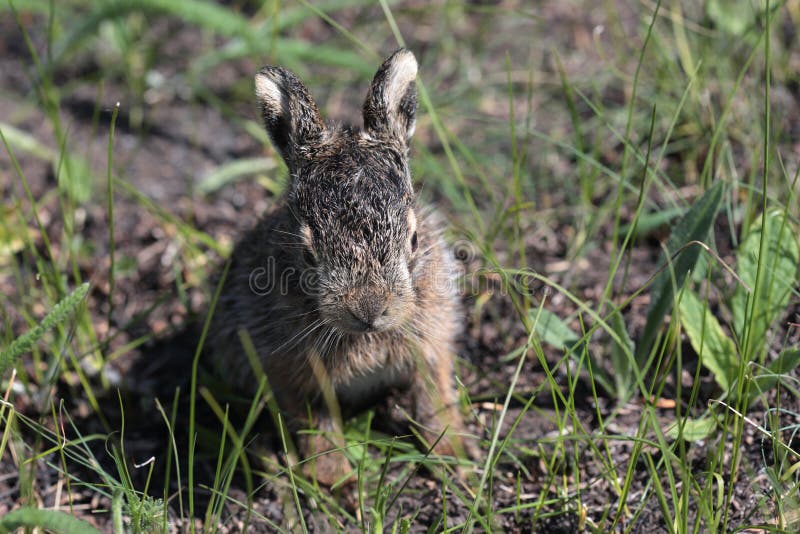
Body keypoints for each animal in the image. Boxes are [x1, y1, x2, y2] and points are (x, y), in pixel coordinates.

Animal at [208, 49, 472, 486]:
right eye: (308, 253)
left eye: (414, 239)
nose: (369, 309)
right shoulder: (291, 372)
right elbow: (317, 424)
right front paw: (335, 479)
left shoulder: (431, 343)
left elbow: (433, 396)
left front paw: (454, 454)